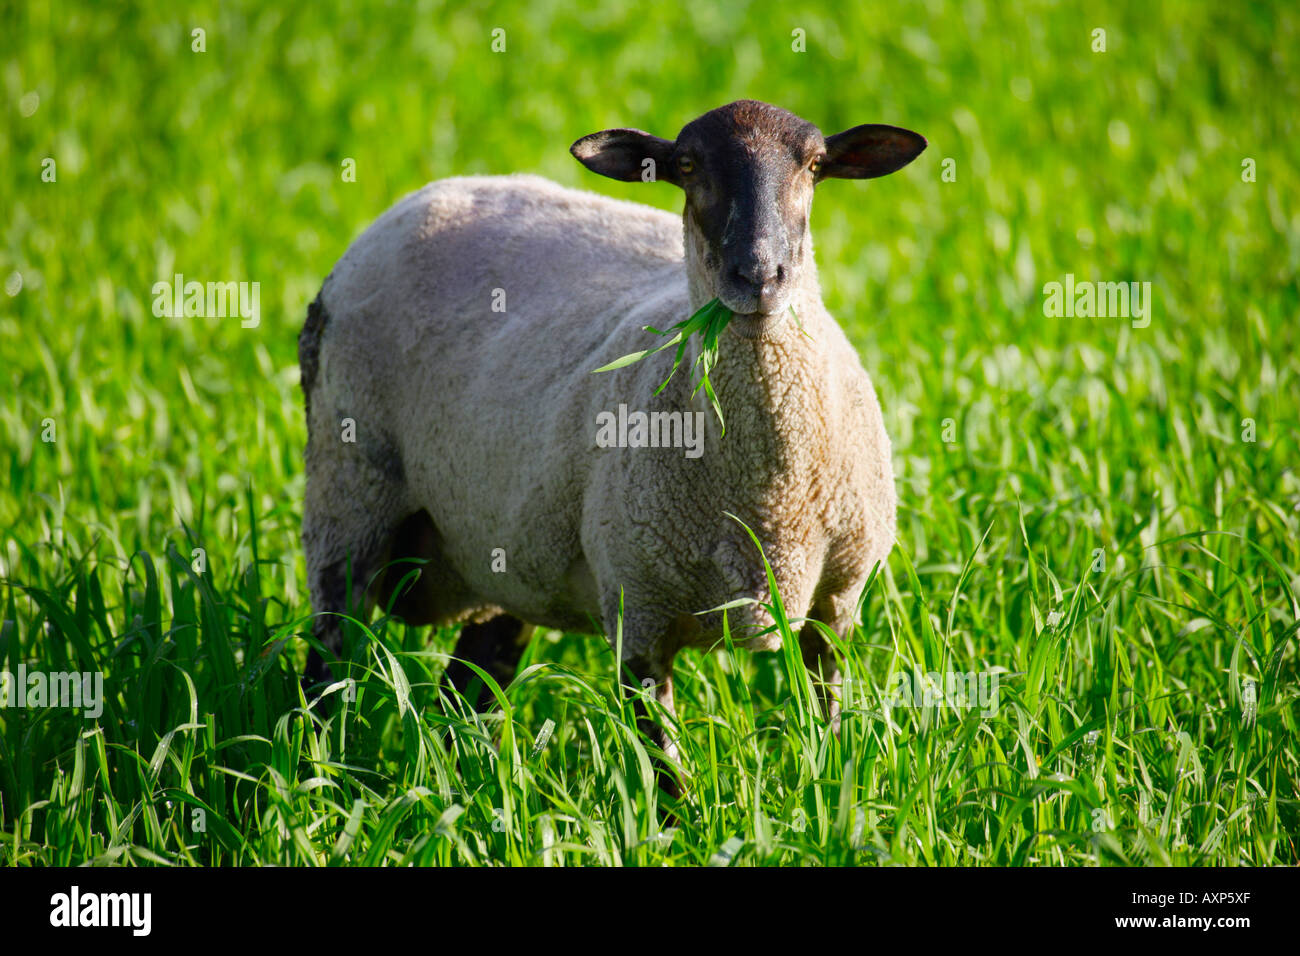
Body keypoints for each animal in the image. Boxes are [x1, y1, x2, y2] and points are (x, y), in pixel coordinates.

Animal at [299, 100, 925, 785]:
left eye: (814, 165)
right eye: (687, 165)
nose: (759, 276)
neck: (769, 499)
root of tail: (425, 197)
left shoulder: (836, 606)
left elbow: (830, 734)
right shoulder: (638, 608)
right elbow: (667, 773)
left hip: (501, 550)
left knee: (467, 688)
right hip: (348, 490)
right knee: (326, 665)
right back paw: (314, 774)